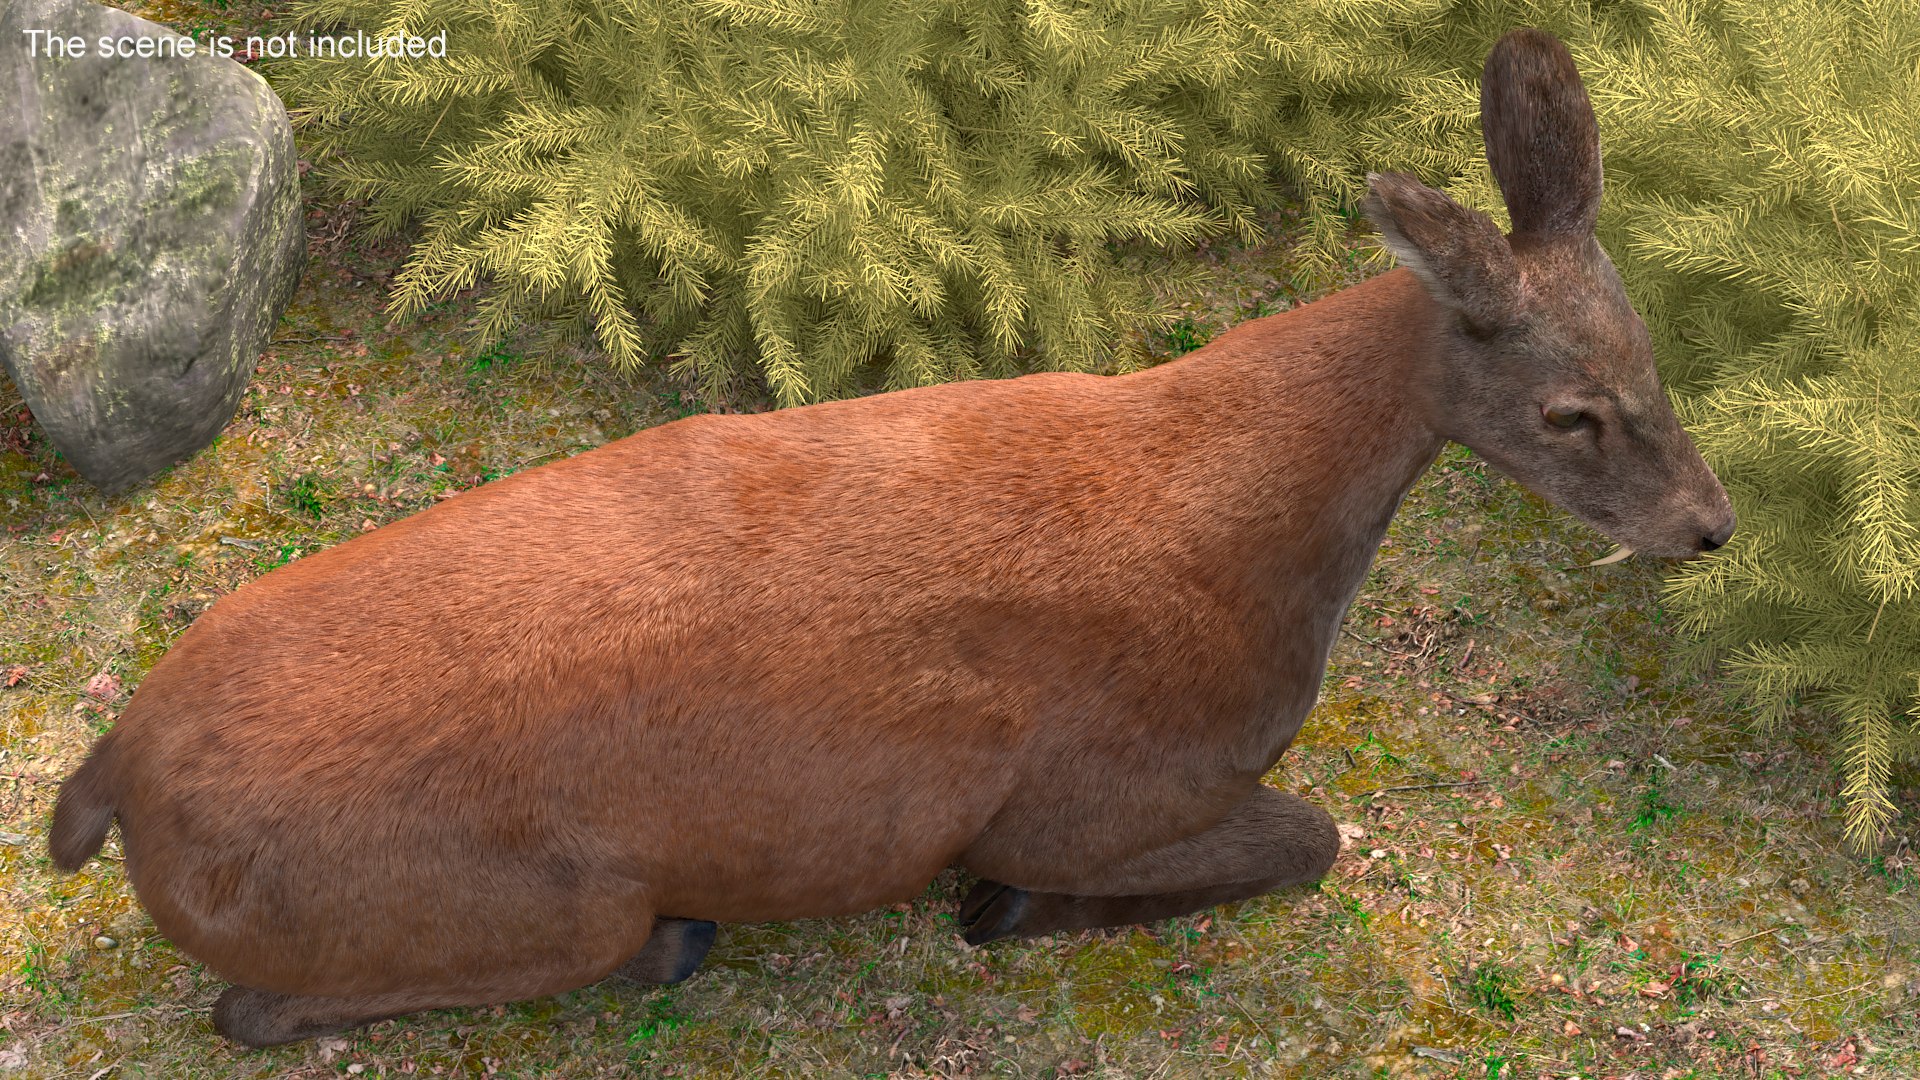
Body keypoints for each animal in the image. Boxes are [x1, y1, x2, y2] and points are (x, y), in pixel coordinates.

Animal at [49, 28, 1734, 1047]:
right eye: (1578, 411)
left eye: (1657, 349)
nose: (1711, 526)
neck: (1254, 543)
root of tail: (111, 771)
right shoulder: (1092, 788)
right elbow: (1309, 842)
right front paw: (1004, 913)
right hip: (534, 903)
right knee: (260, 1009)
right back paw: (674, 940)